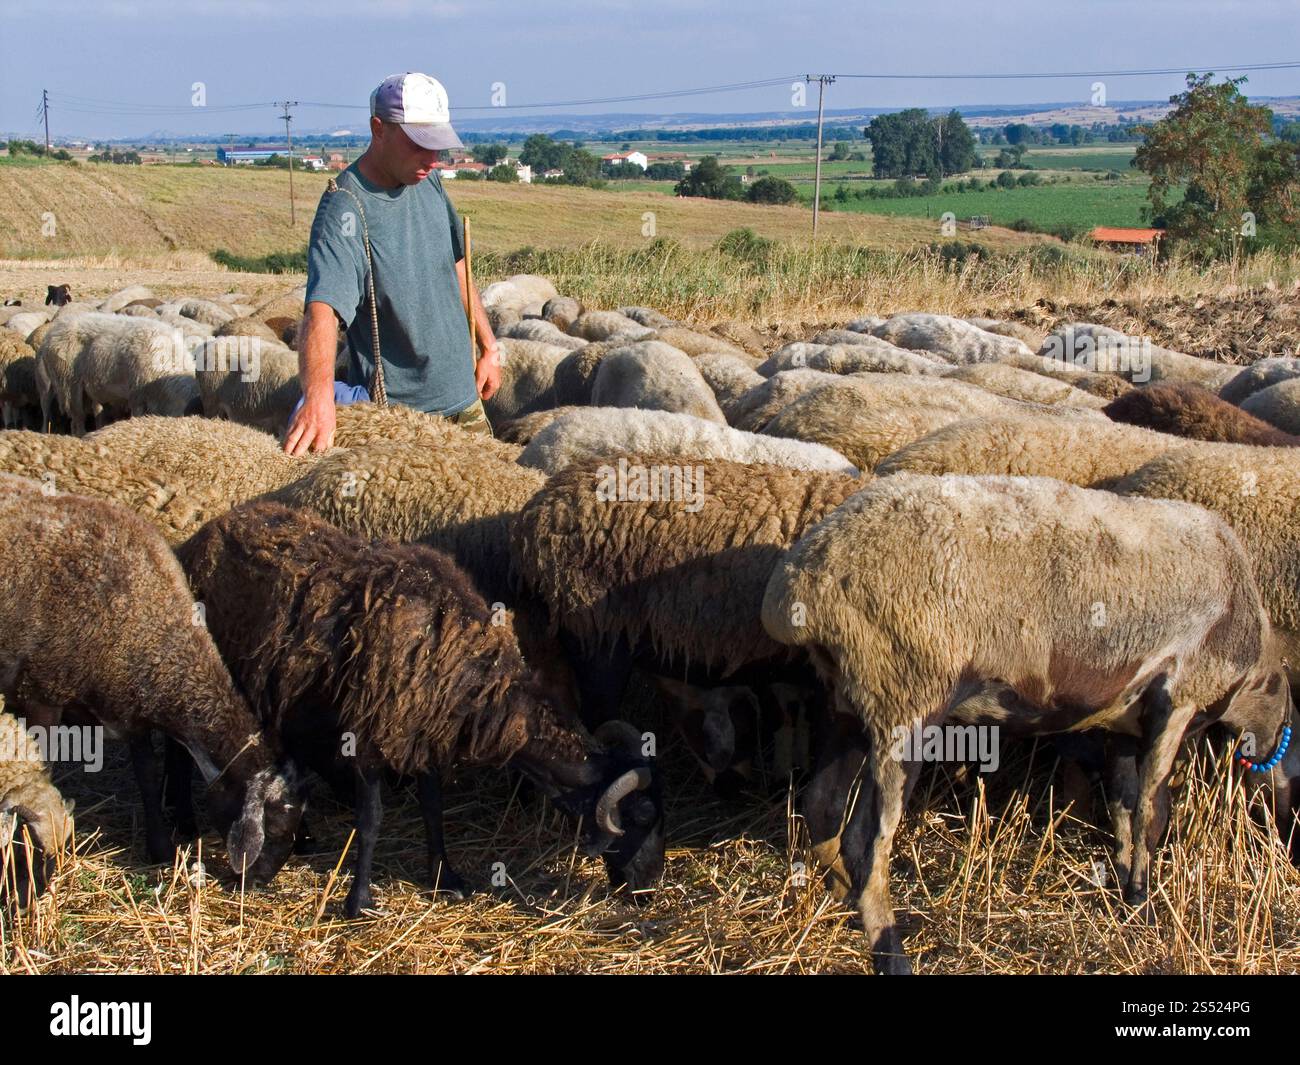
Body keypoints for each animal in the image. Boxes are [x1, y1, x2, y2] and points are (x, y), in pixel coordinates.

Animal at [0, 475, 305, 878]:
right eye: (275, 827)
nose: (259, 881)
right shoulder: (42, 692)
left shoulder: (130, 706)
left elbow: (146, 773)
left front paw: (160, 846)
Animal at [179, 500, 663, 916]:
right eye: (641, 815)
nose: (648, 889)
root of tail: (217, 522)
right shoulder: (369, 738)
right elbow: (371, 820)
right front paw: (359, 900)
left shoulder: (426, 735)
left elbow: (433, 808)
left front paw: (445, 878)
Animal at [761, 473, 1295, 973]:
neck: (1253, 675)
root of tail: (803, 582)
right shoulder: (1180, 696)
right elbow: (1151, 810)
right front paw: (1144, 904)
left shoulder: (1127, 721)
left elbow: (1126, 807)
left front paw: (1127, 888)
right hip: (905, 697)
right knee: (867, 842)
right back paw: (891, 952)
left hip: (847, 703)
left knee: (822, 804)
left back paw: (841, 898)